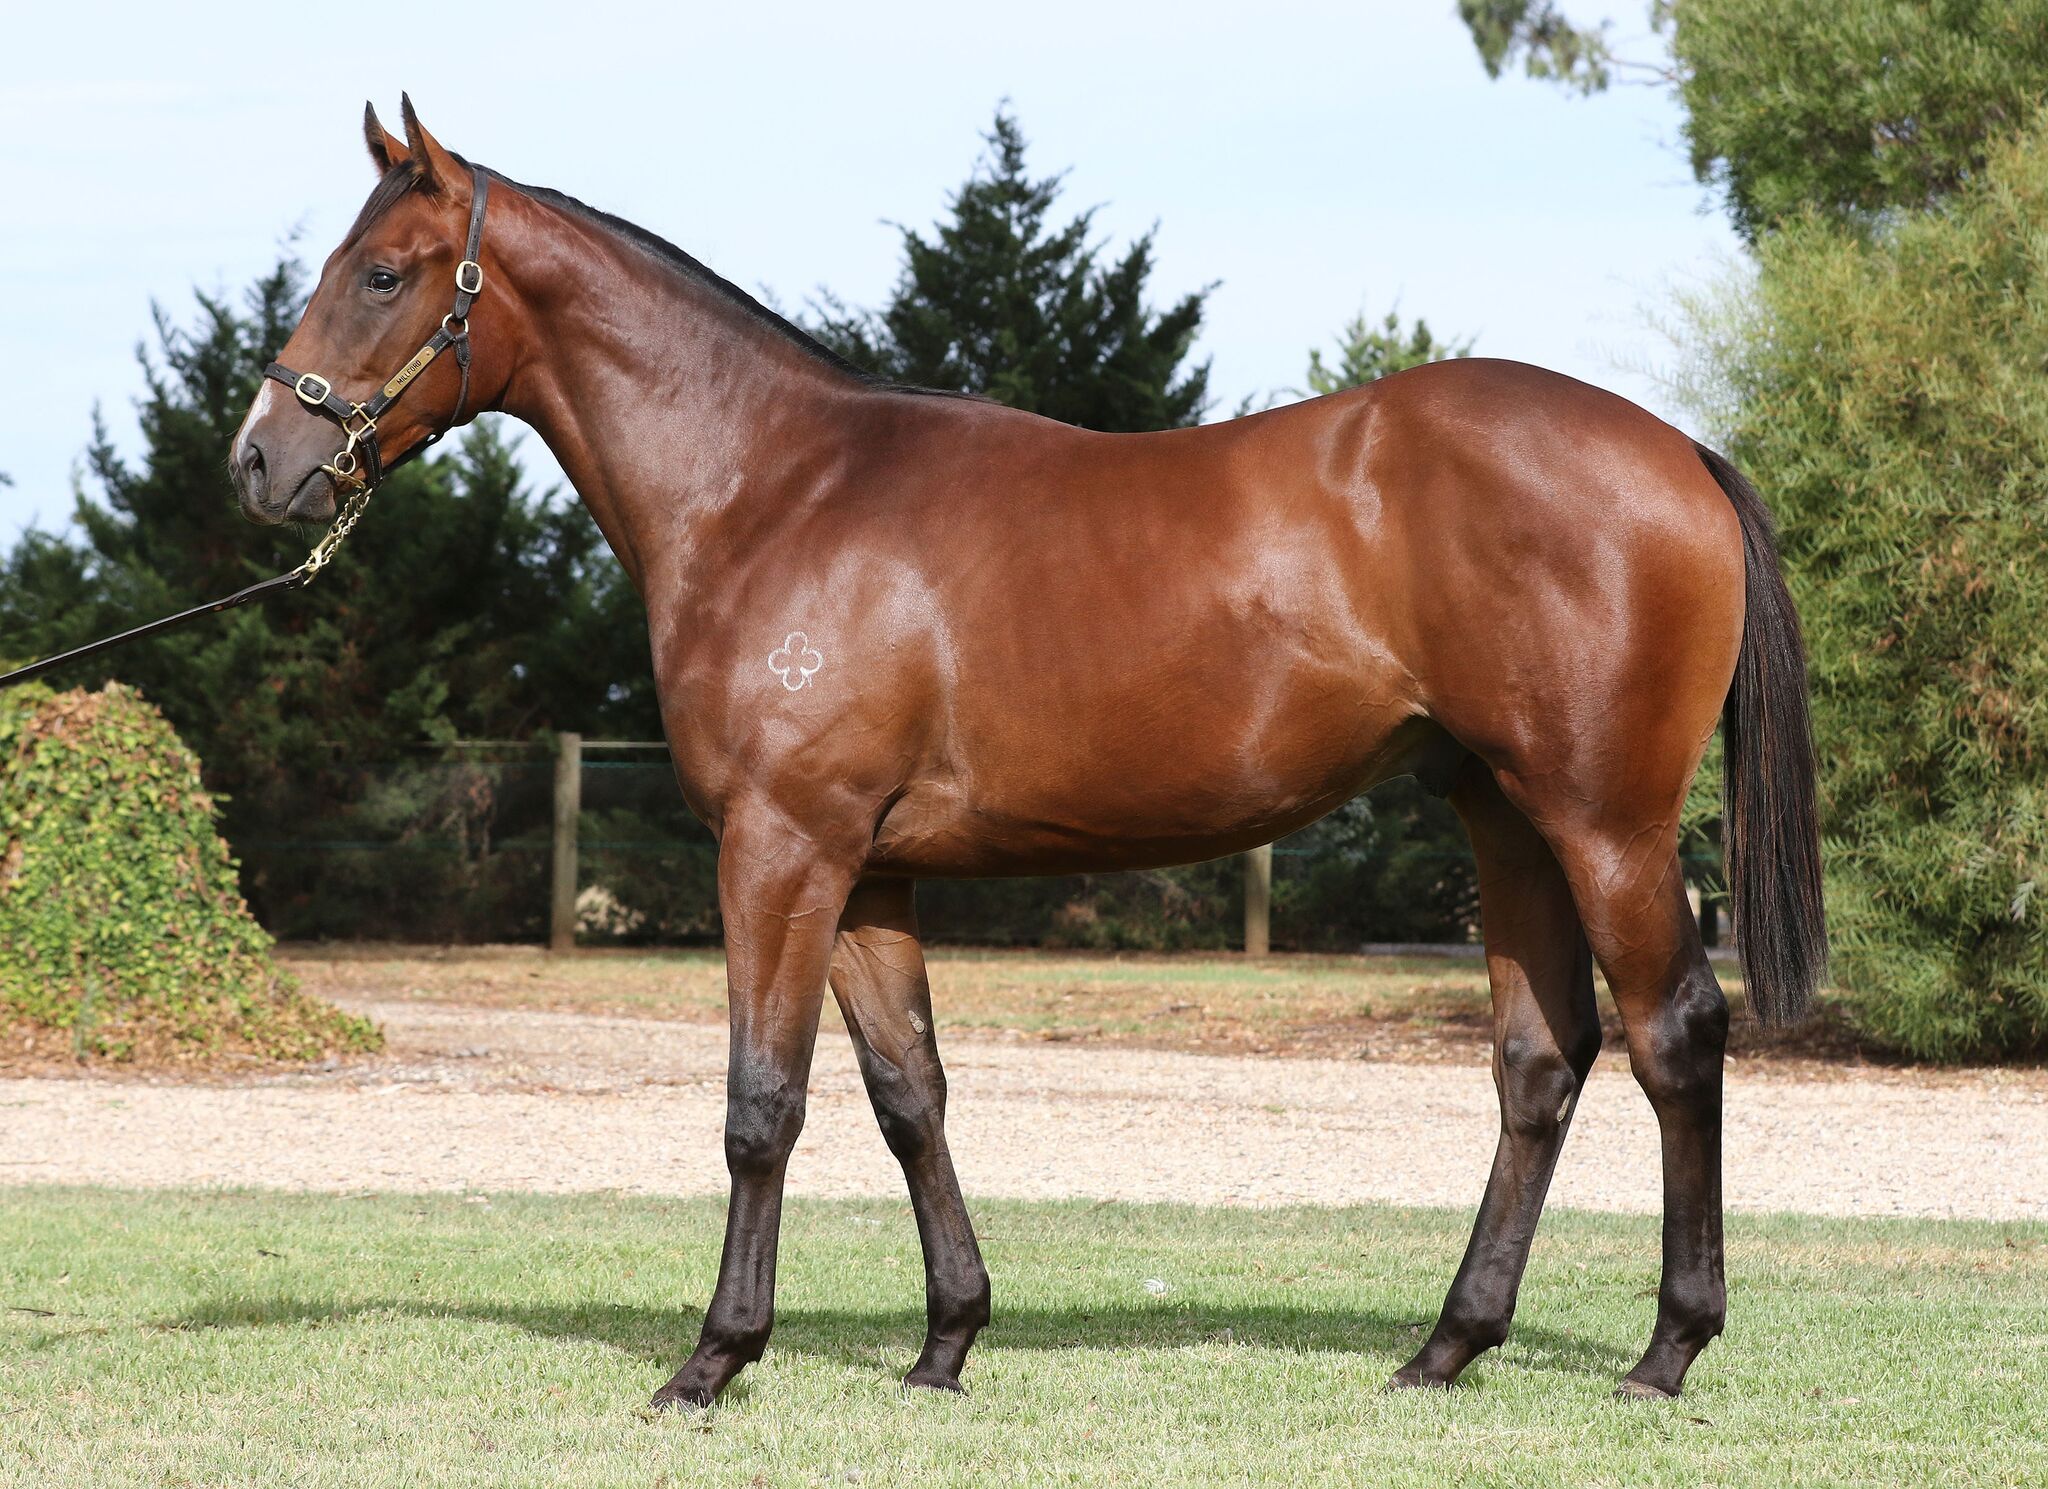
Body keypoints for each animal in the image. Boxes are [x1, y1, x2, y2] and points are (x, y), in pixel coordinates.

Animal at [228, 98, 1826, 1408]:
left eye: (383, 275)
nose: (257, 461)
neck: (772, 490)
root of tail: (1677, 450)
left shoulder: (780, 850)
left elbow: (762, 1104)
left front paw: (712, 1359)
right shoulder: (864, 875)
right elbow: (907, 1095)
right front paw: (945, 1342)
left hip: (1603, 820)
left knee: (1676, 1034)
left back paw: (1666, 1348)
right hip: (1502, 814)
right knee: (1540, 1059)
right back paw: (1445, 1346)